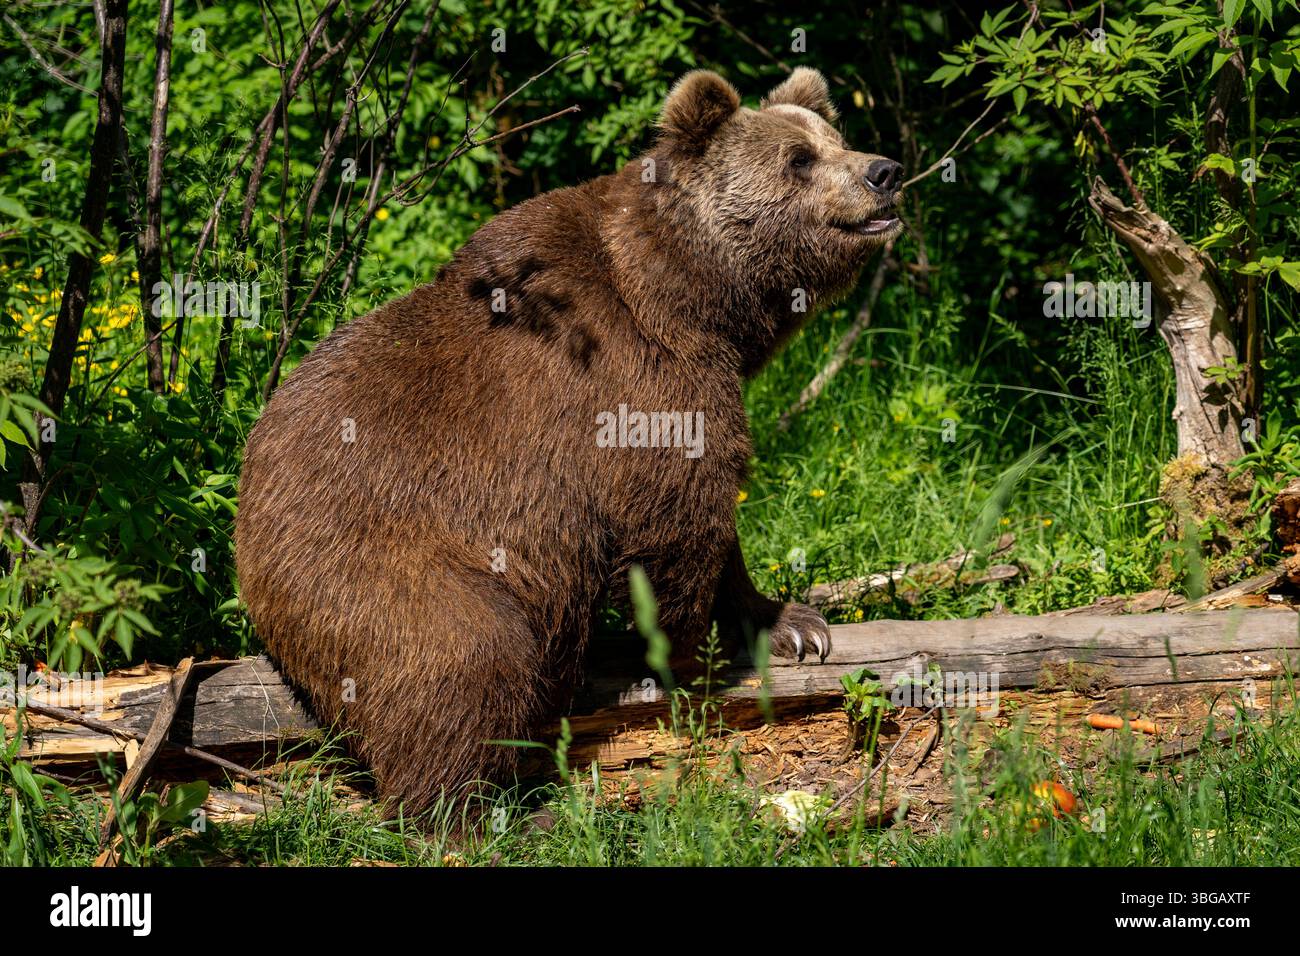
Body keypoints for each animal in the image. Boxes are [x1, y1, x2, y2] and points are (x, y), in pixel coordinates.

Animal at [235, 67, 903, 816]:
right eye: (799, 160)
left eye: (832, 137)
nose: (884, 170)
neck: (692, 296)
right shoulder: (633, 380)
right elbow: (678, 520)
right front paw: (688, 652)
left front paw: (790, 622)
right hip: (372, 567)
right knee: (460, 658)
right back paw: (480, 813)